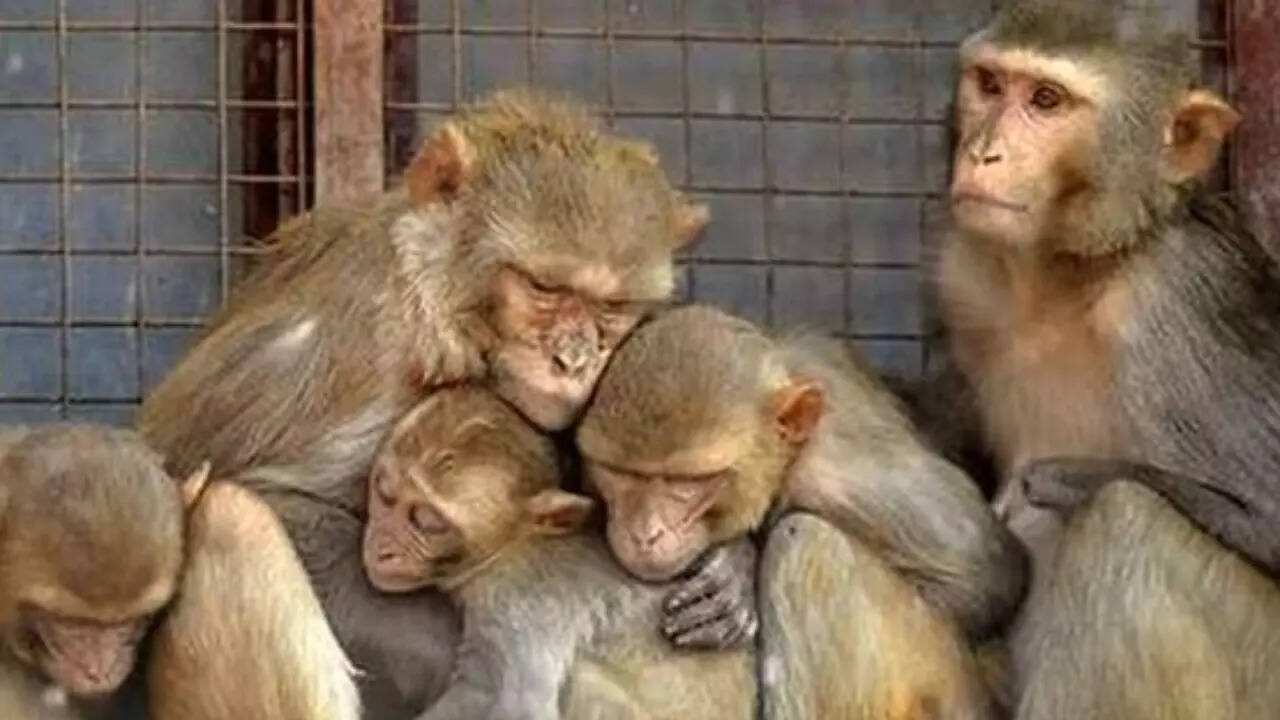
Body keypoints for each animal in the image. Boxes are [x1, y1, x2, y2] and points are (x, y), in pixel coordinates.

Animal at [361, 386, 755, 720]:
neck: (515, 545)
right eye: (384, 492)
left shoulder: (517, 601)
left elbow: (518, 703)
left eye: (427, 522)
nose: (381, 547)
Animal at [576, 304, 1027, 719]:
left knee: (806, 544)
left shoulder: (839, 473)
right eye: (619, 473)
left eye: (687, 482)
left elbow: (986, 581)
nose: (644, 533)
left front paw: (740, 565)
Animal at [931, 1, 1280, 716]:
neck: (1077, 273)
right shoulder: (965, 276)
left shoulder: (1178, 301)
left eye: (1046, 100)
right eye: (989, 84)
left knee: (1126, 519)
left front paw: (1057, 482)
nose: (982, 151)